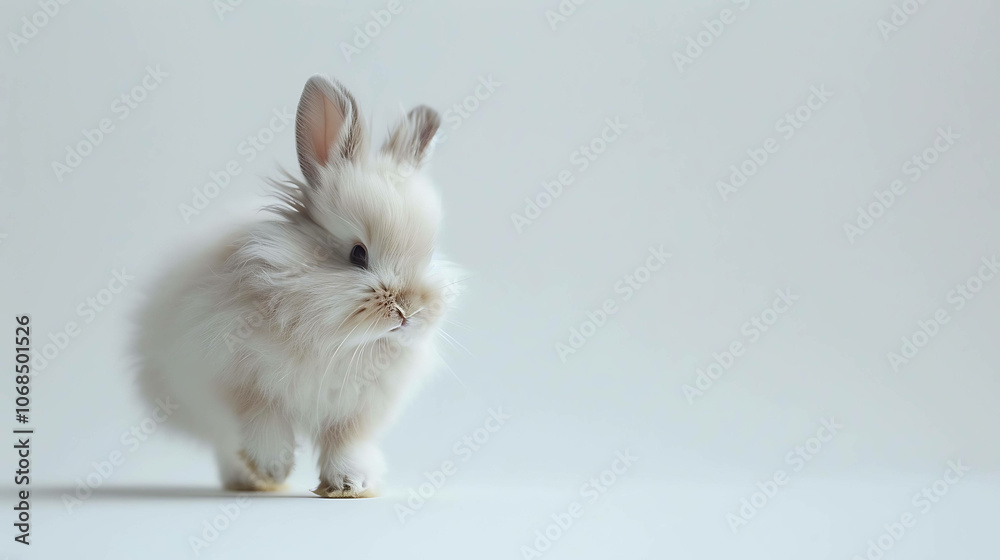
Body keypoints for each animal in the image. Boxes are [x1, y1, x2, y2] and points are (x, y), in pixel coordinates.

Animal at [134, 75, 459, 498]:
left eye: (428, 255)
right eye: (358, 254)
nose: (409, 312)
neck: (336, 342)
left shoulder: (356, 412)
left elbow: (345, 442)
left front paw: (349, 484)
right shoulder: (237, 381)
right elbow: (262, 420)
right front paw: (272, 468)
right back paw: (250, 481)